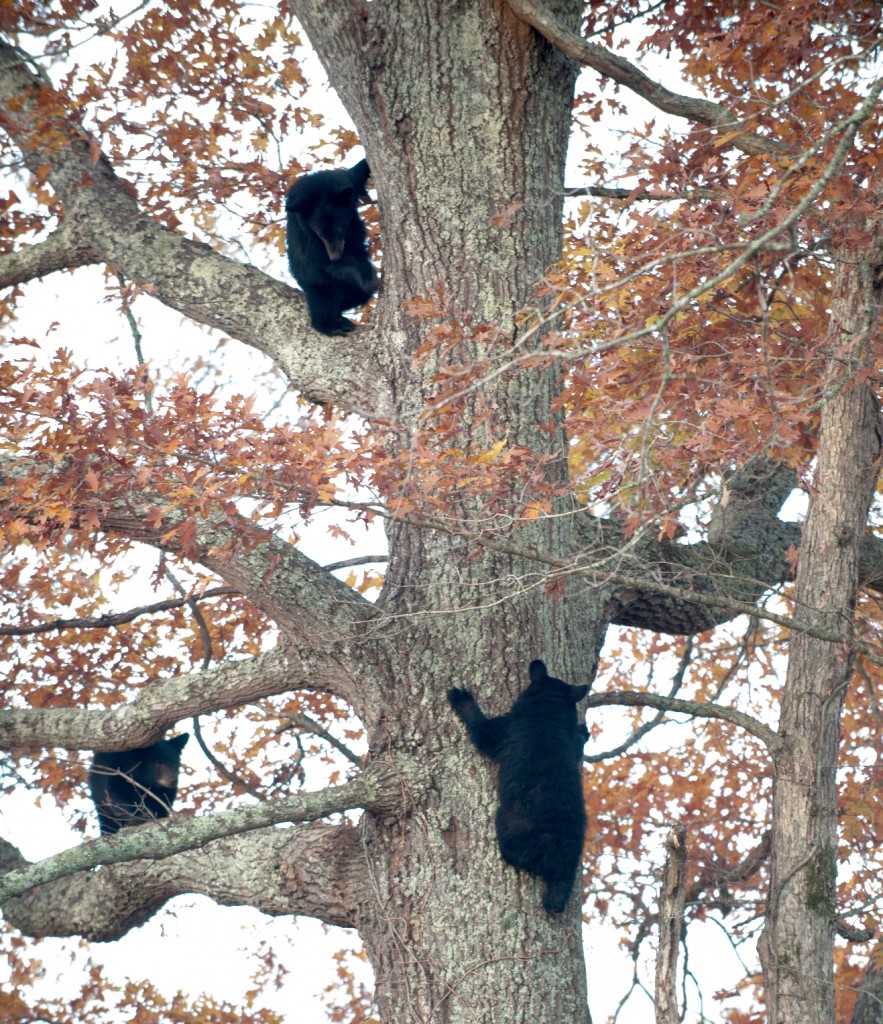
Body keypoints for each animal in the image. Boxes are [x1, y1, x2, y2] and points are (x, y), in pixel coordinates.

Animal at [285, 157, 378, 336]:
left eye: (339, 230)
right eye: (320, 234)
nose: (335, 256)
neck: (319, 189)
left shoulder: (348, 183)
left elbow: (358, 171)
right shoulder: (307, 235)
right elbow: (324, 261)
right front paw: (368, 276)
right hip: (313, 280)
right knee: (323, 299)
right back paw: (332, 325)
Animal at [447, 659, 589, 913]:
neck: (549, 712)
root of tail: (560, 850)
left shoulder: (506, 727)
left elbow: (482, 732)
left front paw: (461, 697)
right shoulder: (568, 740)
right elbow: (577, 746)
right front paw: (584, 732)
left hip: (514, 825)